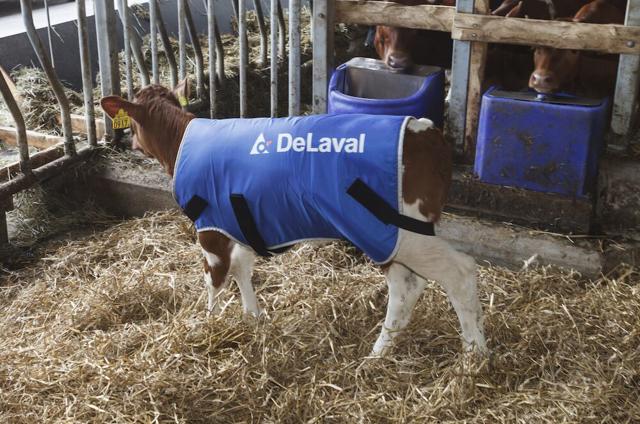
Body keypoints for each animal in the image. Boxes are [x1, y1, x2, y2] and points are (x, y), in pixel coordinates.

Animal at [100, 83, 488, 358]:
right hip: (393, 237)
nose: (131, 144)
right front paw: (253, 318)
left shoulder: (209, 229)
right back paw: (381, 352)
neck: (181, 142)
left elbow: (215, 277)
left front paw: (208, 322)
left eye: (133, 124)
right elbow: (241, 268)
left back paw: (473, 355)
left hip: (393, 231)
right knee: (408, 286)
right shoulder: (236, 221)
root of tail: (427, 132)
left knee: (456, 272)